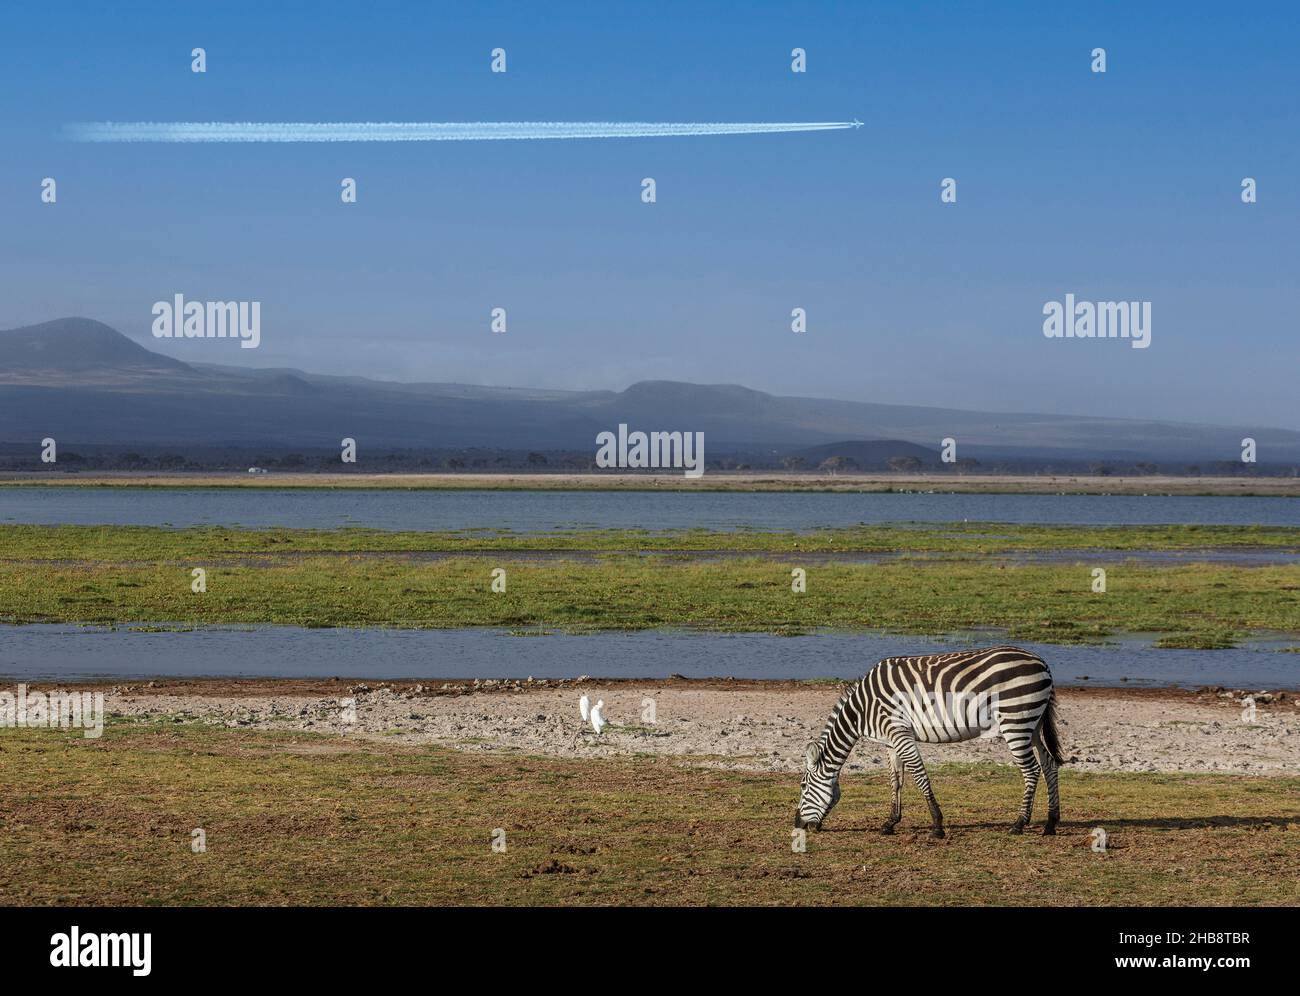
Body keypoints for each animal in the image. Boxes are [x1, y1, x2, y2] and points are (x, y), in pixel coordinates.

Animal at [794, 646, 1064, 838]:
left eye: (803, 786)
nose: (797, 824)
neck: (862, 709)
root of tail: (1043, 663)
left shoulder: (900, 732)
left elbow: (920, 776)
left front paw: (937, 825)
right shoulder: (890, 740)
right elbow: (896, 781)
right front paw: (890, 822)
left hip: (1015, 721)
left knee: (1032, 770)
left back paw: (1019, 824)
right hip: (1033, 724)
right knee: (1049, 765)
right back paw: (1051, 823)